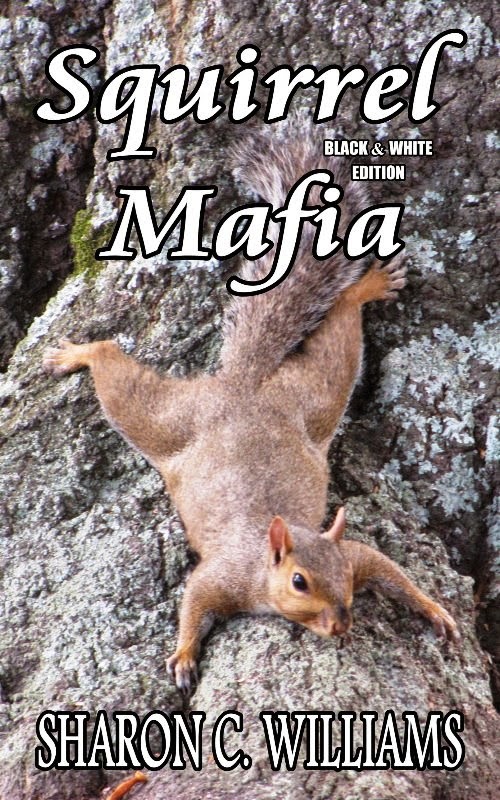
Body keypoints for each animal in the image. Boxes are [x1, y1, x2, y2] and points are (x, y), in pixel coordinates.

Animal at [43, 130, 458, 692]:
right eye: (299, 581)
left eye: (344, 579)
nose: (341, 624)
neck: (266, 564)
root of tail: (244, 380)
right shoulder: (224, 574)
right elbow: (194, 599)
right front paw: (184, 654)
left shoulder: (351, 552)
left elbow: (384, 565)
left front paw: (432, 608)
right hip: (169, 418)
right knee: (112, 365)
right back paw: (76, 355)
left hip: (313, 396)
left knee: (342, 326)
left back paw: (366, 288)